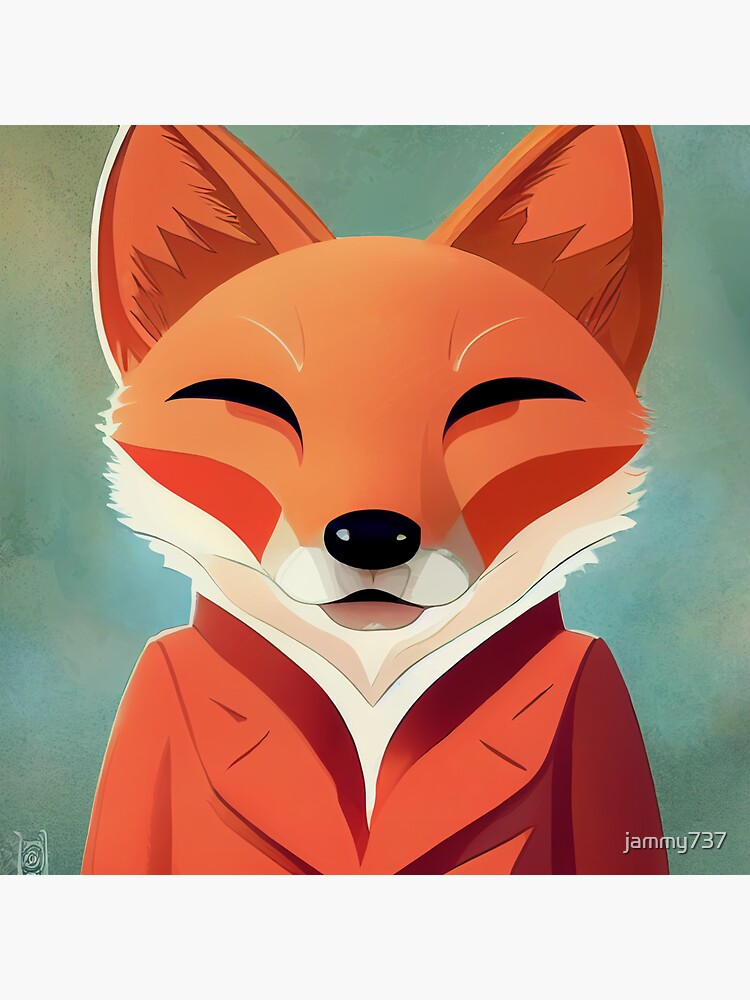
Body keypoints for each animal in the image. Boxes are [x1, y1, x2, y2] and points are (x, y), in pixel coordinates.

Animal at [82, 124, 668, 874]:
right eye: (252, 400)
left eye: (494, 400)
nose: (370, 536)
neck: (369, 704)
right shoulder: (149, 706)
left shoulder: (601, 704)